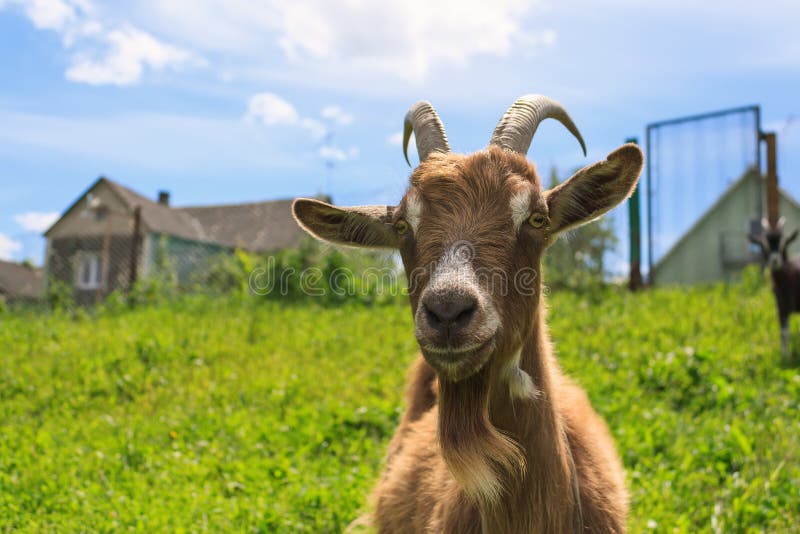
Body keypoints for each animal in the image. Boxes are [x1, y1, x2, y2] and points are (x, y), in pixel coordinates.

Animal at [750, 217, 800, 359]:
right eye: (763, 245)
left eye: (785, 243)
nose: (775, 260)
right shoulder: (781, 306)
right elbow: (784, 332)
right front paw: (785, 357)